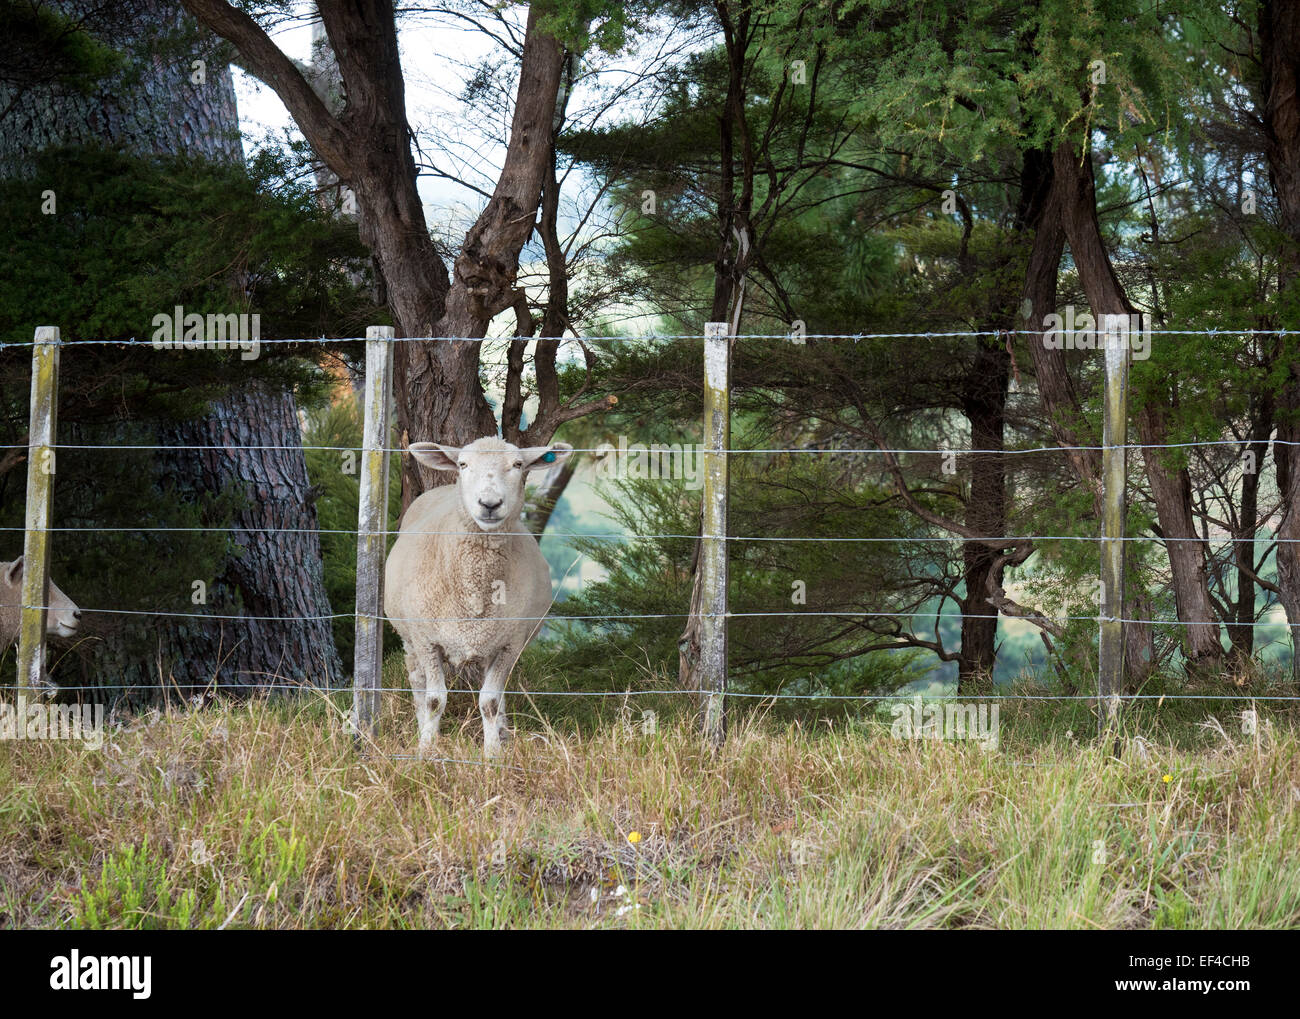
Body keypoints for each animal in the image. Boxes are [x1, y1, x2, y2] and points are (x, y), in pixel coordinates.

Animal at [384, 436, 573, 759]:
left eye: (518, 464)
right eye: (463, 464)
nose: (489, 504)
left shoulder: (510, 643)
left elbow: (490, 701)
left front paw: (493, 753)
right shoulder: (426, 640)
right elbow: (435, 700)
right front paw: (427, 749)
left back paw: (503, 733)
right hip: (409, 636)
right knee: (417, 681)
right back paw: (421, 727)